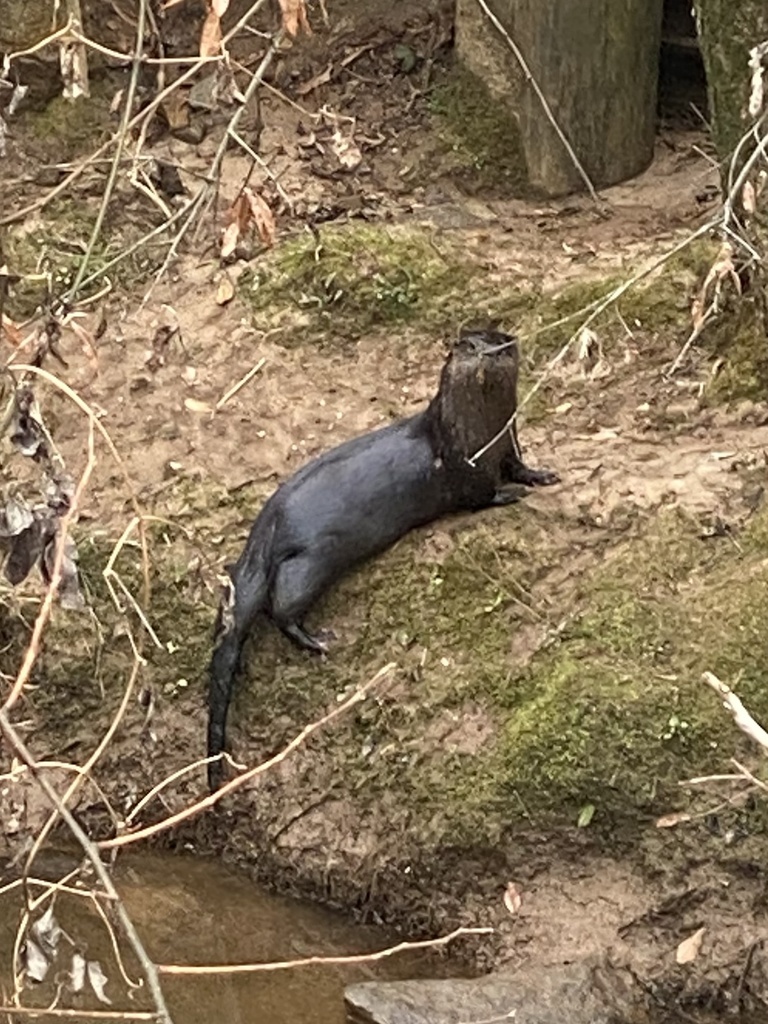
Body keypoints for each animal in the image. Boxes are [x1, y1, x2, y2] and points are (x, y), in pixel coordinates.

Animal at [207, 329, 559, 791]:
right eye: (469, 345)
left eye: (503, 342)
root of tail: (267, 523)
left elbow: (520, 465)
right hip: (313, 559)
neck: (481, 435)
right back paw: (317, 640)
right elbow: (479, 496)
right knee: (280, 606)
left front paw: (541, 475)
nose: (489, 353)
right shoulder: (463, 469)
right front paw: (509, 494)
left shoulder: (510, 443)